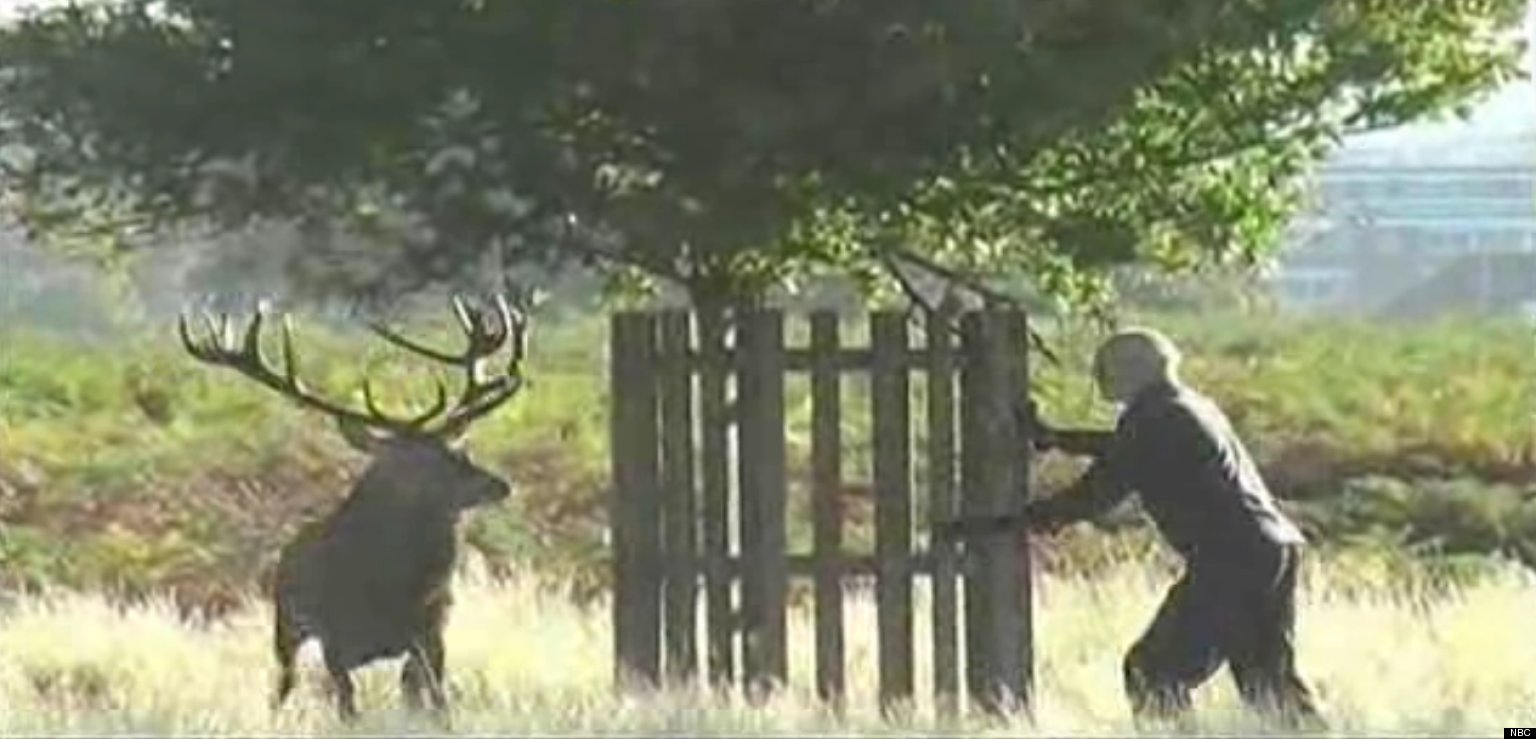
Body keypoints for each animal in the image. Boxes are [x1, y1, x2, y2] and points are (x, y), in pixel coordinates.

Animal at [177, 293, 528, 721]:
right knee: (283, 684)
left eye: (461, 449)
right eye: (424, 462)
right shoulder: (335, 640)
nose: (500, 485)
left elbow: (433, 701)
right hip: (285, 627)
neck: (395, 589)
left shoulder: (431, 634)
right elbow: (348, 706)